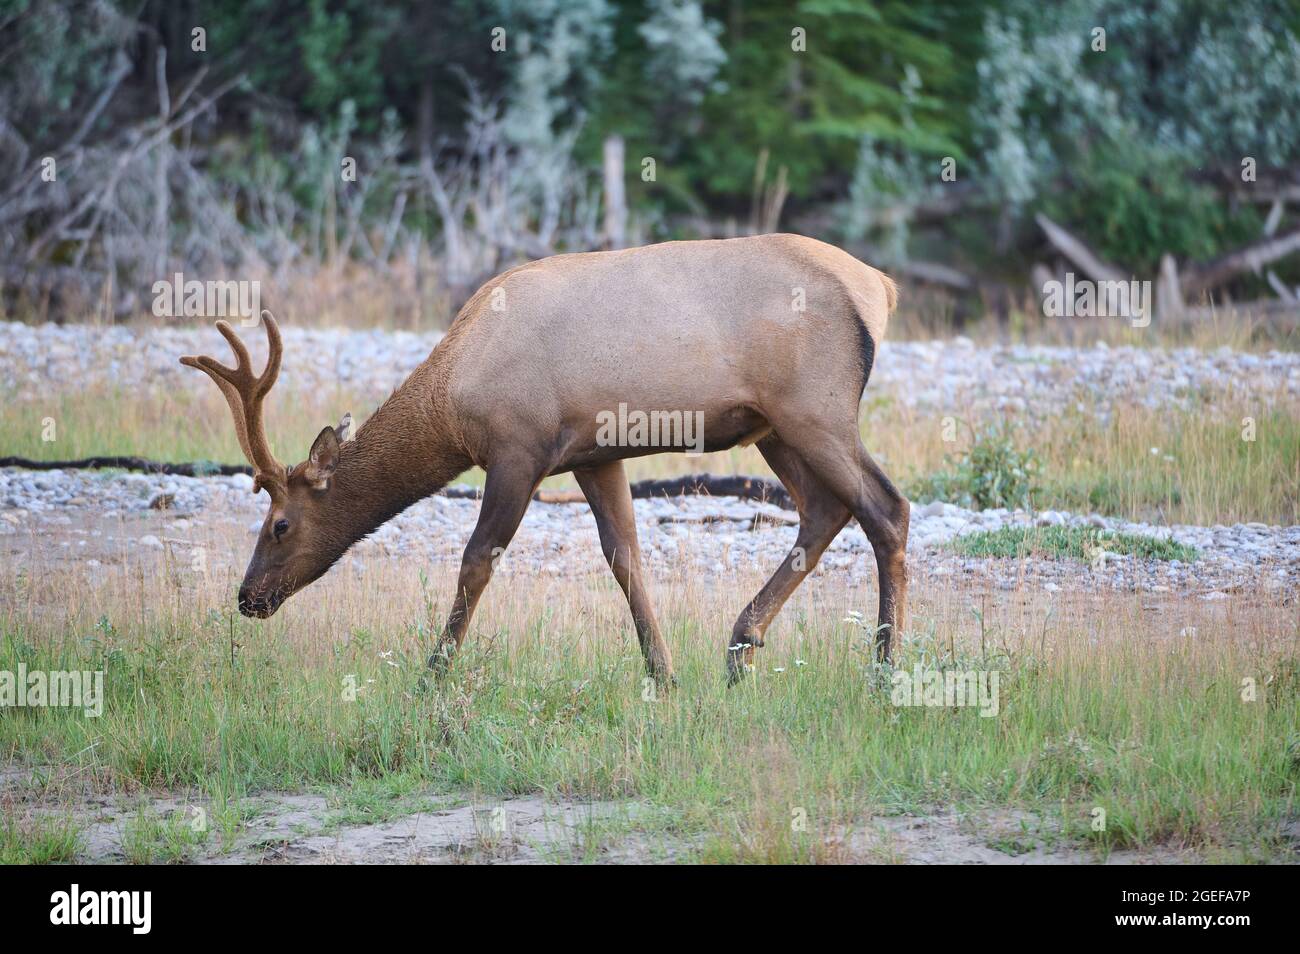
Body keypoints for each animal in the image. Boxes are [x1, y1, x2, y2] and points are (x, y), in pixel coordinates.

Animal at [180, 233, 909, 685]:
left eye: (279, 524)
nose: (247, 597)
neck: (453, 402)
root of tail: (881, 286)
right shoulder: (594, 454)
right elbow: (625, 558)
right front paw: (664, 673)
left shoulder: (517, 448)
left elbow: (477, 560)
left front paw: (431, 674)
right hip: (775, 426)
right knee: (827, 509)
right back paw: (741, 647)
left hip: (814, 407)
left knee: (886, 508)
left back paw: (883, 672)